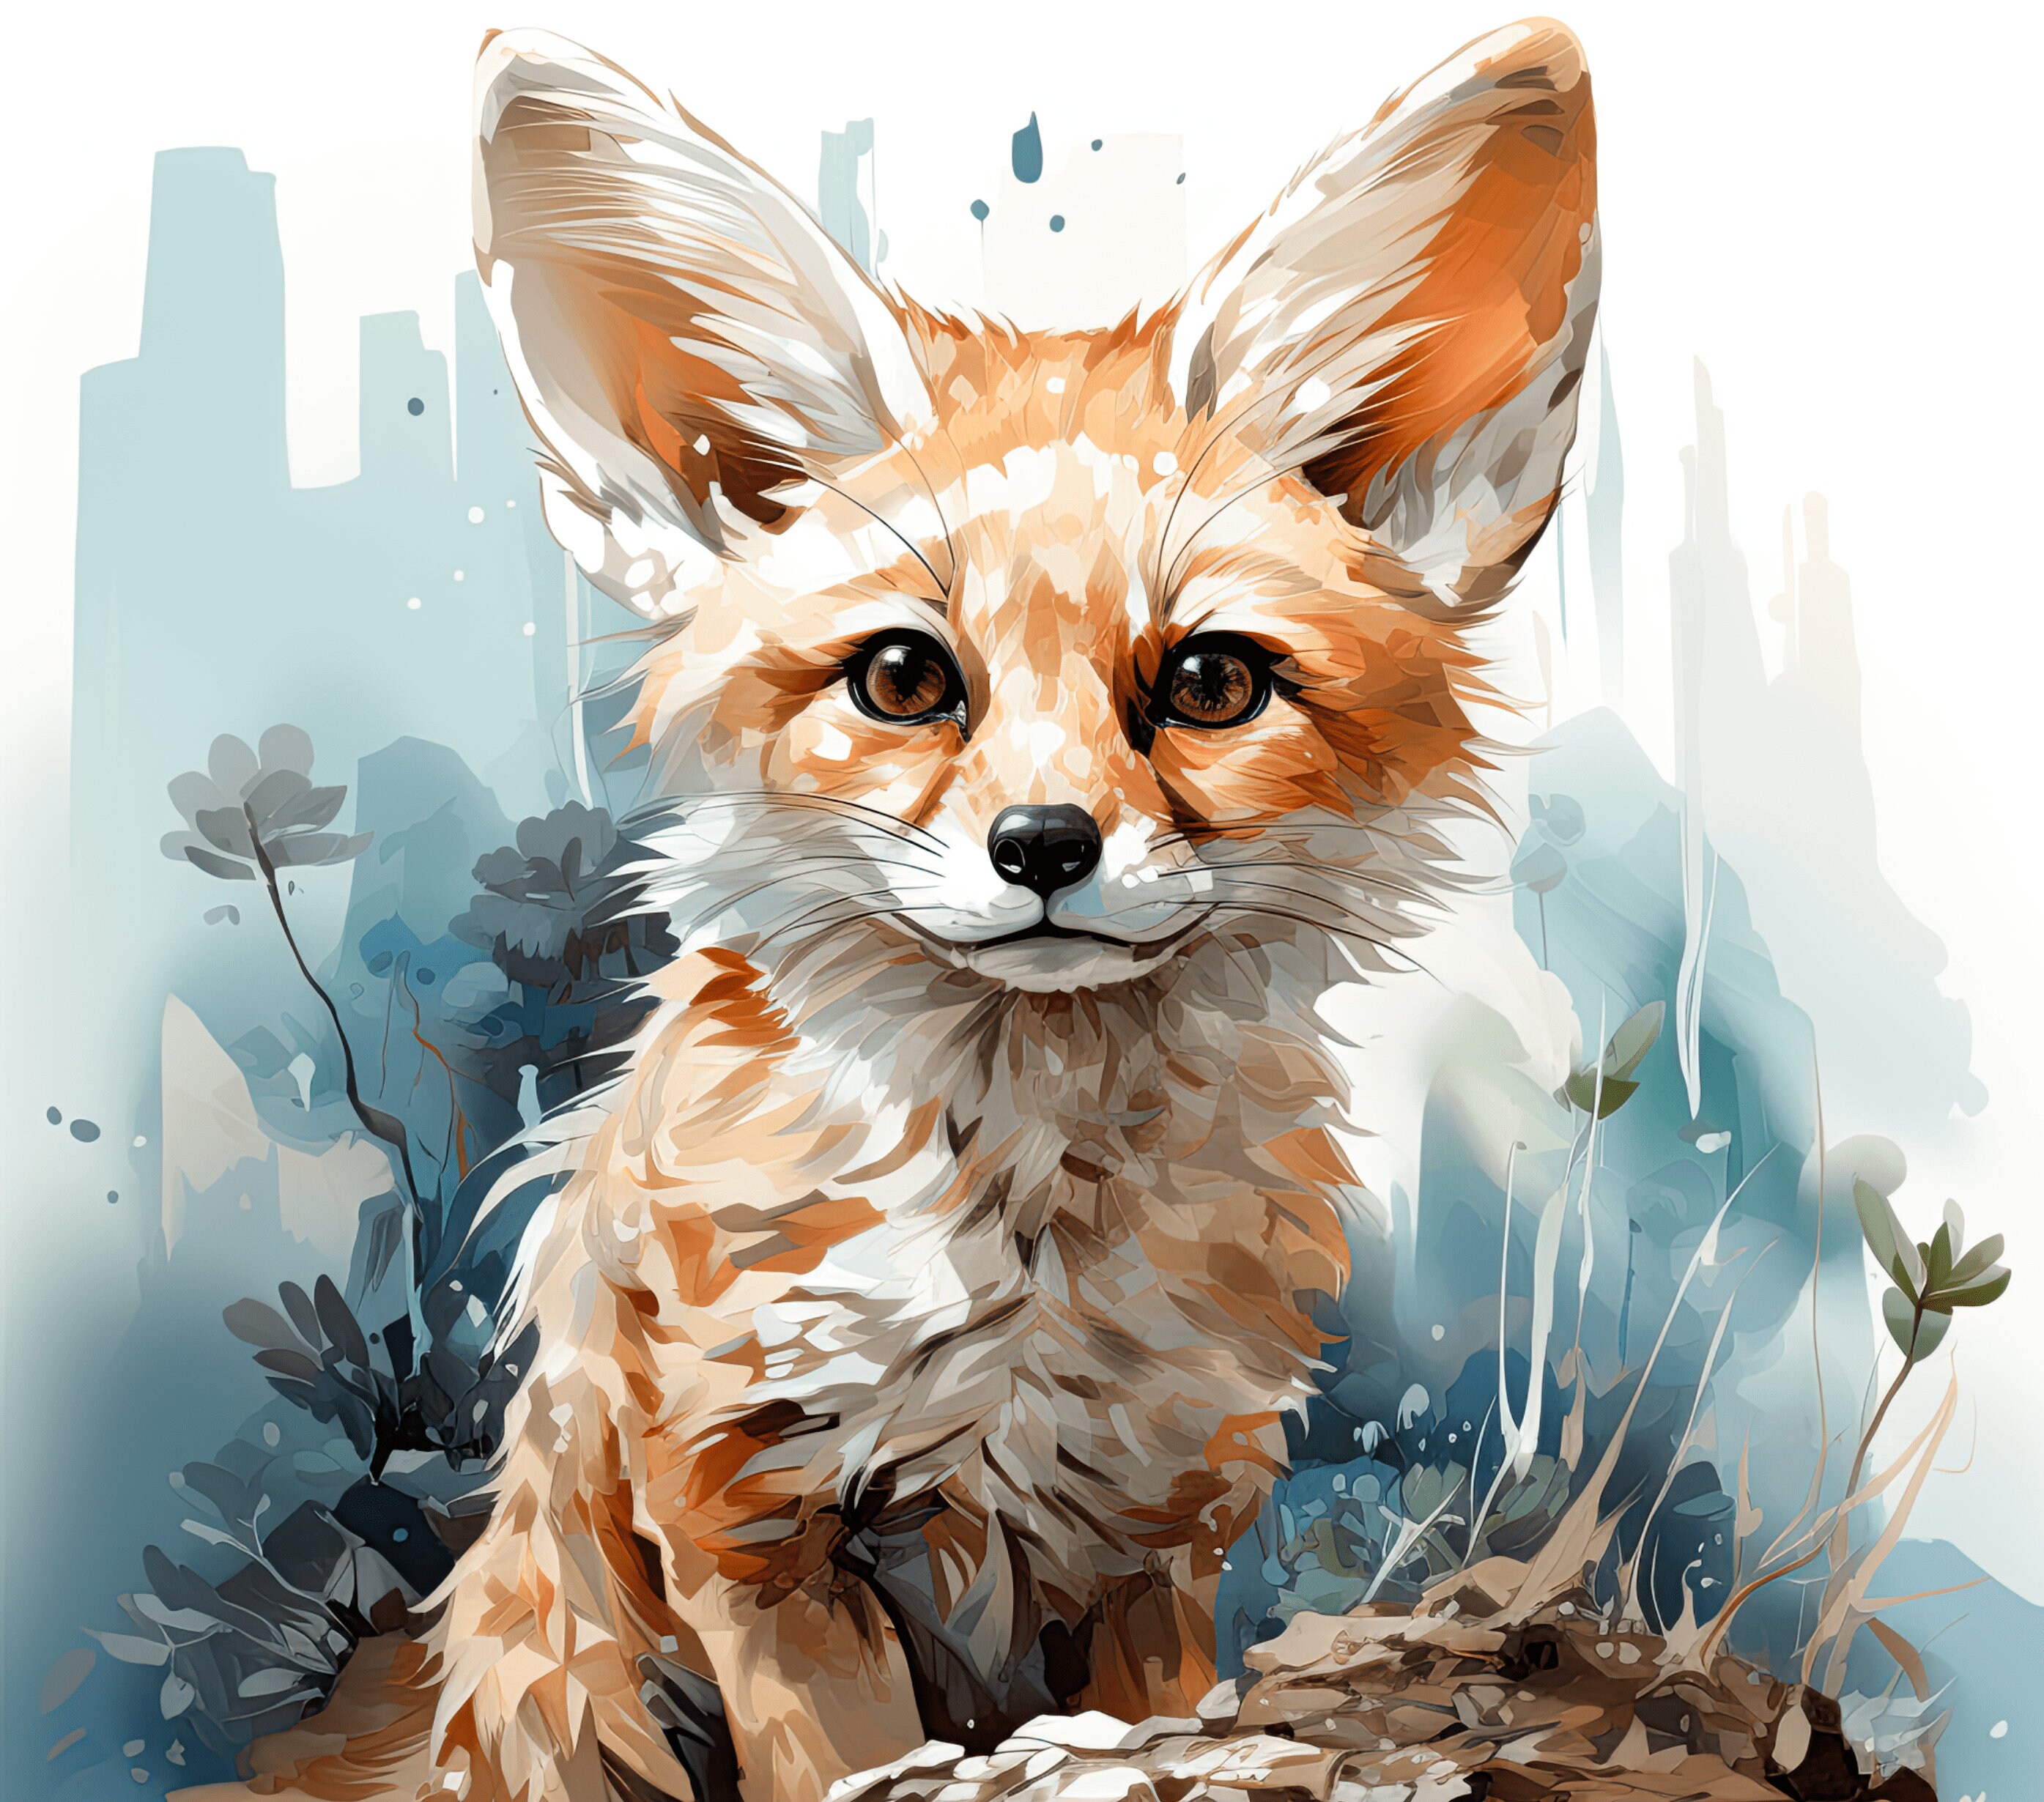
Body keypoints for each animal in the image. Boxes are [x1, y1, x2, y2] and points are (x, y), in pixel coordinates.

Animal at [196, 17, 1597, 1802]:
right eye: (905, 679)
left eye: (1211, 683)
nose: (1045, 844)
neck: (1023, 1265)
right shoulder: (752, 1521)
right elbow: (846, 1760)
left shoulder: (1155, 1542)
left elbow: (1158, 1714)